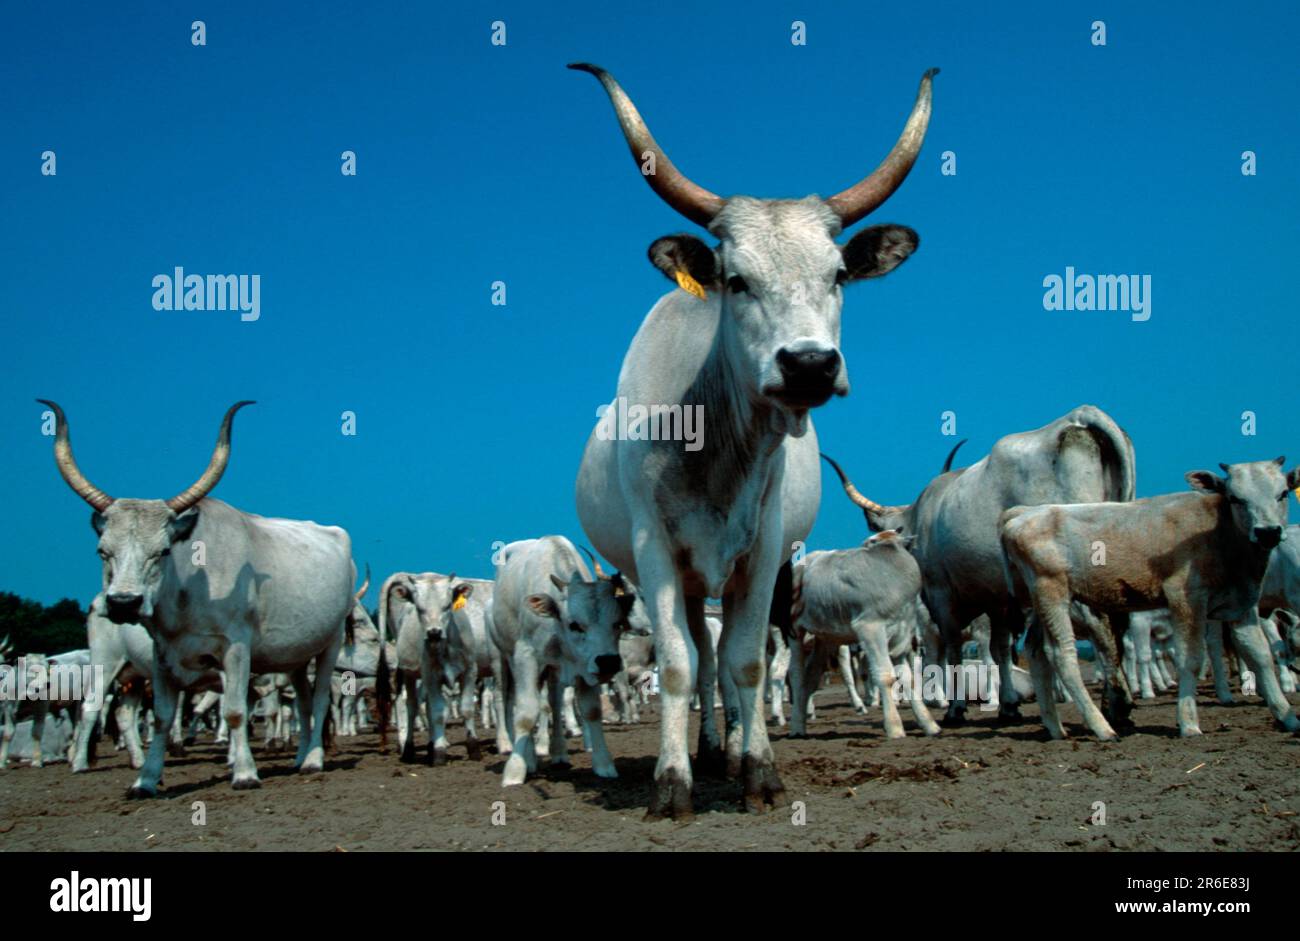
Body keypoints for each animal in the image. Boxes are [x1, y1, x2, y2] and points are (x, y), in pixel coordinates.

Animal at [39, 400, 353, 795]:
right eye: (102, 551)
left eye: (162, 551)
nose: (123, 603)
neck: (188, 593)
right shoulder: (161, 655)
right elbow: (161, 716)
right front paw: (146, 779)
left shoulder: (236, 649)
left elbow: (234, 711)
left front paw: (245, 773)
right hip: (293, 654)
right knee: (305, 702)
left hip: (330, 642)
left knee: (322, 697)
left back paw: (313, 760)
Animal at [491, 536, 646, 786]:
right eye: (574, 624)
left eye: (617, 623)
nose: (609, 662)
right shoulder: (527, 656)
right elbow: (525, 713)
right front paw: (514, 771)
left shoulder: (584, 666)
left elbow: (591, 711)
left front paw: (604, 764)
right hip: (508, 658)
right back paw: (529, 758)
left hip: (553, 670)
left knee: (553, 703)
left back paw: (559, 753)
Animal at [790, 530, 942, 738]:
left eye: (872, 541)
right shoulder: (870, 629)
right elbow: (885, 676)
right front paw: (894, 727)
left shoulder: (902, 637)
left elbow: (908, 680)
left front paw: (928, 723)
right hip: (795, 631)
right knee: (796, 676)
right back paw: (796, 727)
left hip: (825, 638)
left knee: (810, 676)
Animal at [822, 405, 1136, 726]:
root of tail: (1080, 417)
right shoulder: (998, 598)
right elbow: (1000, 650)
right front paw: (1008, 705)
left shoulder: (942, 594)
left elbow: (954, 648)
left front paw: (955, 708)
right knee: (1117, 623)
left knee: (1099, 621)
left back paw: (1117, 703)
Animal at [1000, 457, 1300, 739]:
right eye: (1235, 498)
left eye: (1283, 493)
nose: (1268, 532)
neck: (1219, 532)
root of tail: (1025, 512)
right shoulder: (1185, 597)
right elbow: (1190, 658)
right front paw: (1189, 723)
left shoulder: (1241, 604)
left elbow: (1261, 656)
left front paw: (1287, 717)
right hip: (1051, 590)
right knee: (1061, 653)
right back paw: (1102, 728)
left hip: (1040, 601)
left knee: (1037, 653)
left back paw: (1056, 728)